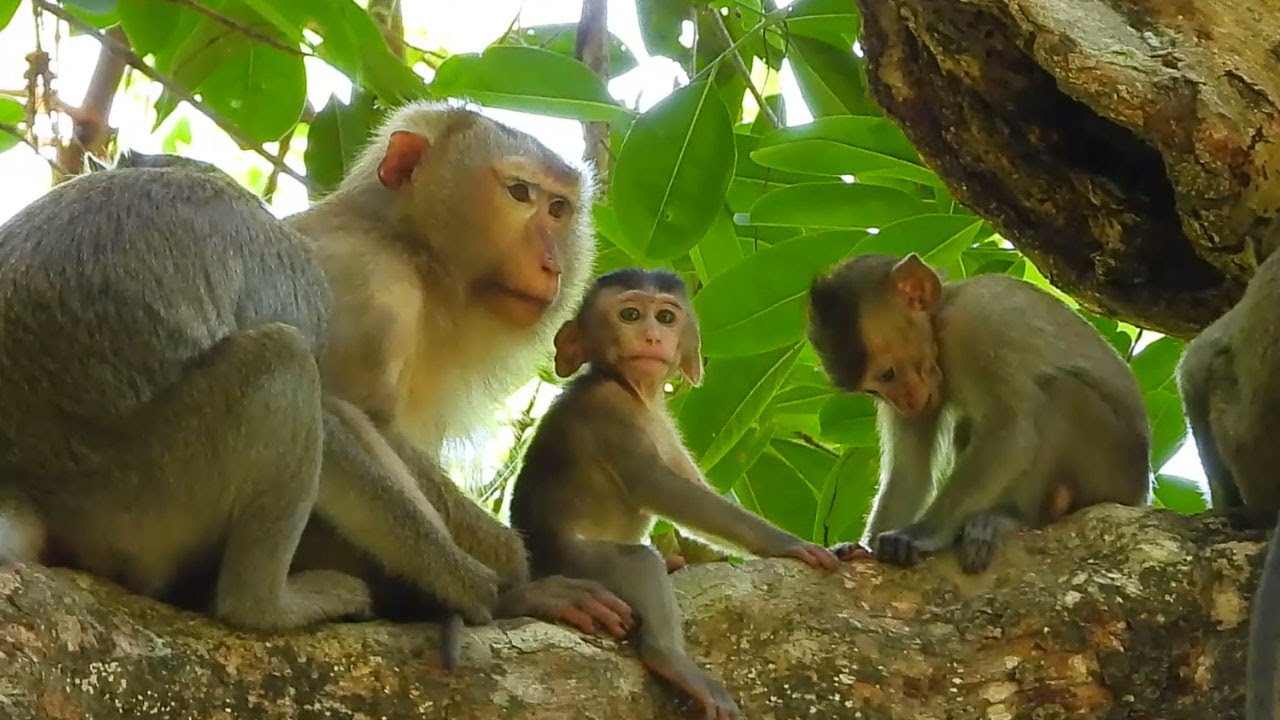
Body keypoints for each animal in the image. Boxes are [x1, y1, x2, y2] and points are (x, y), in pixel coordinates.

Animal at [0, 102, 631, 658]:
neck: (411, 250)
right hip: (147, 498)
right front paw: (510, 583)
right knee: (289, 368)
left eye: (558, 209)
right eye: (520, 194)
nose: (551, 263)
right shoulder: (370, 291)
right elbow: (343, 414)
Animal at [510, 268, 841, 720]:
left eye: (666, 317)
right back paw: (668, 655)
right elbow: (659, 487)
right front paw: (789, 543)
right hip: (574, 562)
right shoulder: (607, 408)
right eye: (630, 315)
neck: (637, 393)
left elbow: (695, 489)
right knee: (638, 562)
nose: (652, 336)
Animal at [806, 252, 1152, 574]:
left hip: (1114, 465)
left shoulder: (974, 326)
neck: (941, 321)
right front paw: (863, 548)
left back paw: (1011, 518)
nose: (904, 403)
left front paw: (921, 534)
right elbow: (910, 469)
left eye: (887, 374)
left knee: (1061, 395)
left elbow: (1010, 429)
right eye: (874, 390)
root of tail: (1140, 493)